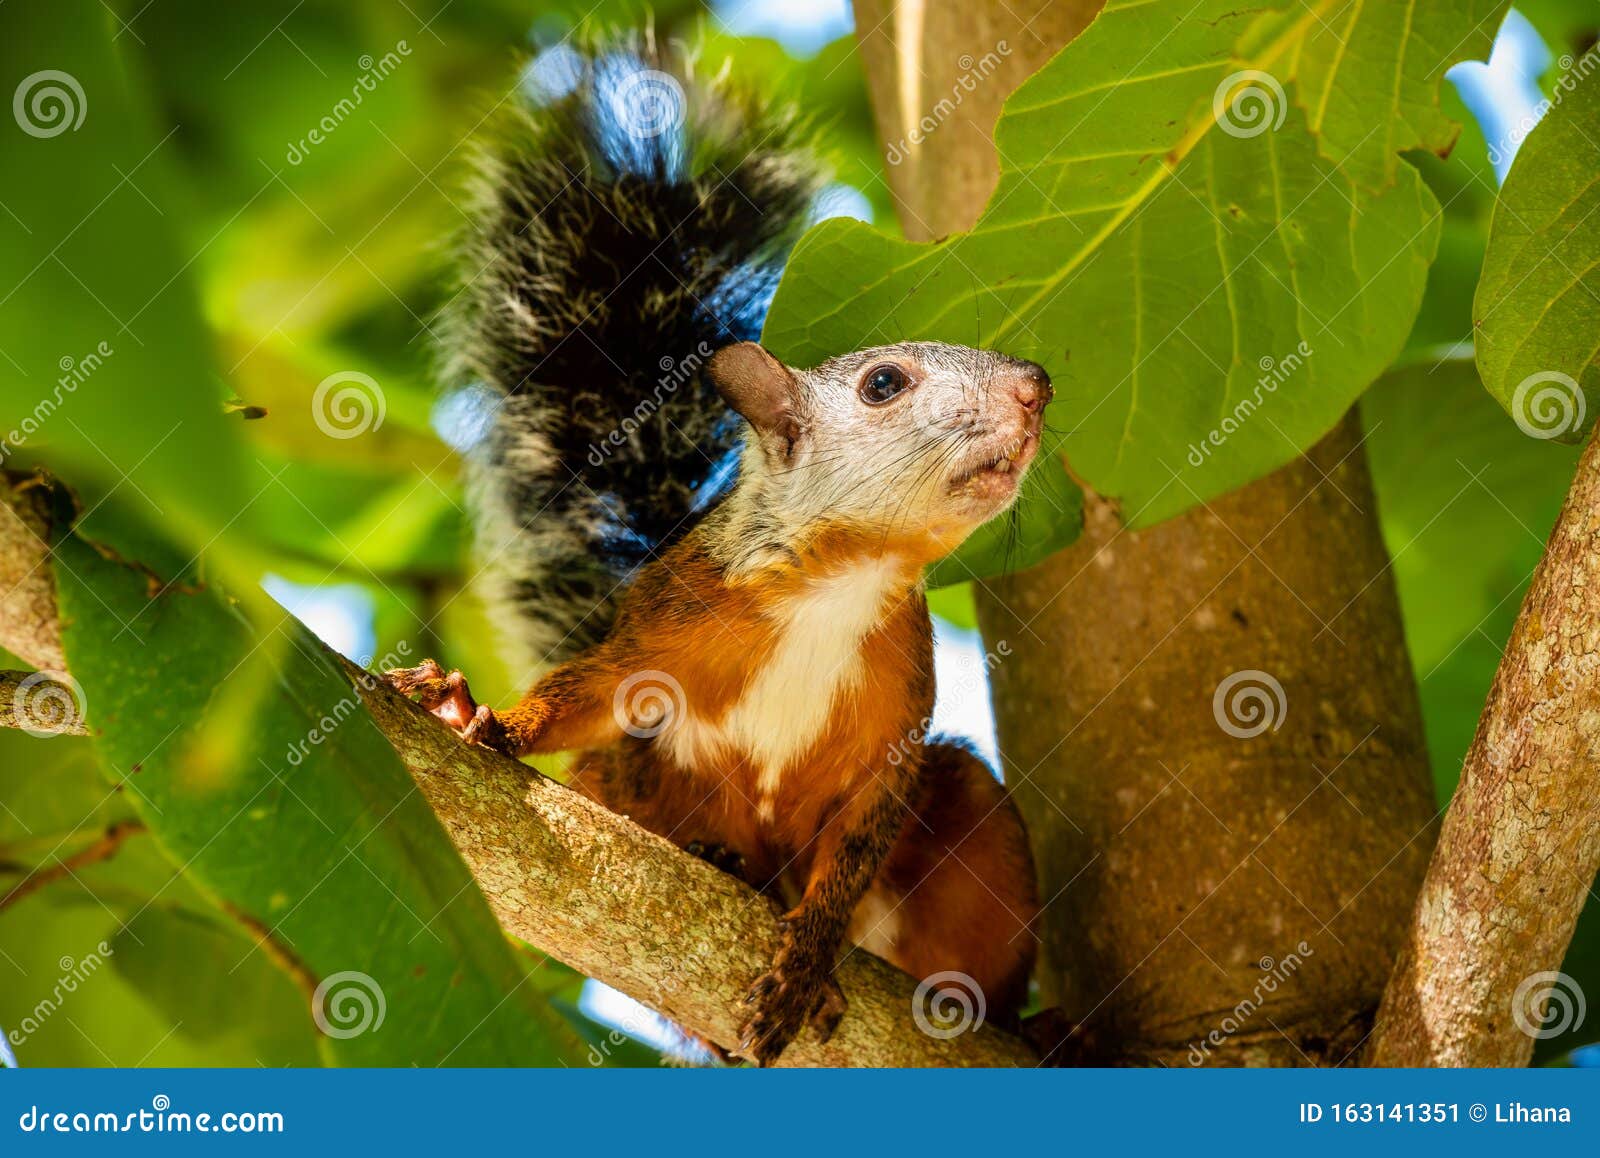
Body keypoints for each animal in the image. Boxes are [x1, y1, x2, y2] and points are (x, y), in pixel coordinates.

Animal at [386, 42, 1045, 1066]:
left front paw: (805, 961)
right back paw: (717, 856)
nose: (1036, 388)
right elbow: (581, 696)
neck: (840, 584)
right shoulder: (658, 636)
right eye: (883, 384)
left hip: (976, 823)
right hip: (625, 785)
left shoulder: (896, 731)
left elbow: (851, 855)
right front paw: (486, 720)